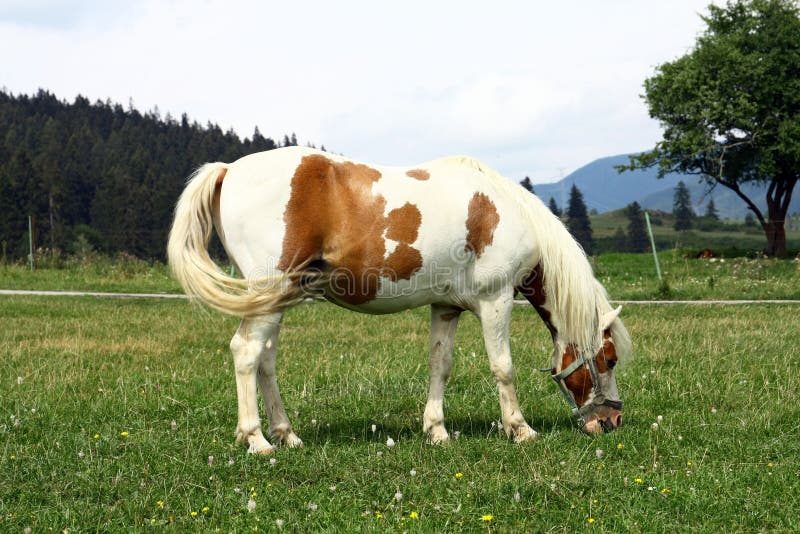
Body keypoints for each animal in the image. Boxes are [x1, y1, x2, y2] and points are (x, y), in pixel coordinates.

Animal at [168, 146, 631, 454]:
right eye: (608, 359)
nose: (612, 420)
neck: (502, 213)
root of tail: (229, 169)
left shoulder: (447, 307)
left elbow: (440, 366)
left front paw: (437, 430)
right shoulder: (495, 300)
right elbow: (503, 368)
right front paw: (519, 429)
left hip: (274, 300)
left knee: (265, 360)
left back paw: (287, 434)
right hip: (269, 292)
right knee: (246, 353)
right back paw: (258, 440)